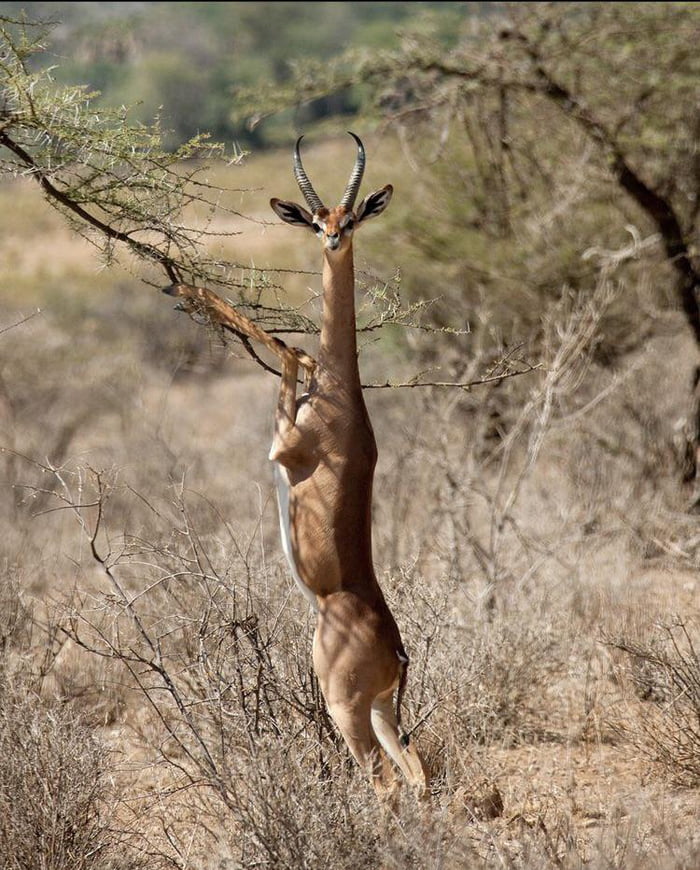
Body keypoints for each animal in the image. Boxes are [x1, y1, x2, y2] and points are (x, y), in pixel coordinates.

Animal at [163, 133, 428, 800]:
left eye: (351, 217)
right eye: (316, 218)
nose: (332, 237)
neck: (341, 398)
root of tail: (397, 651)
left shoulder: (281, 445)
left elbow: (286, 349)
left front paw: (186, 288)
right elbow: (295, 348)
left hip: (346, 709)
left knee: (384, 782)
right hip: (383, 711)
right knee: (416, 774)